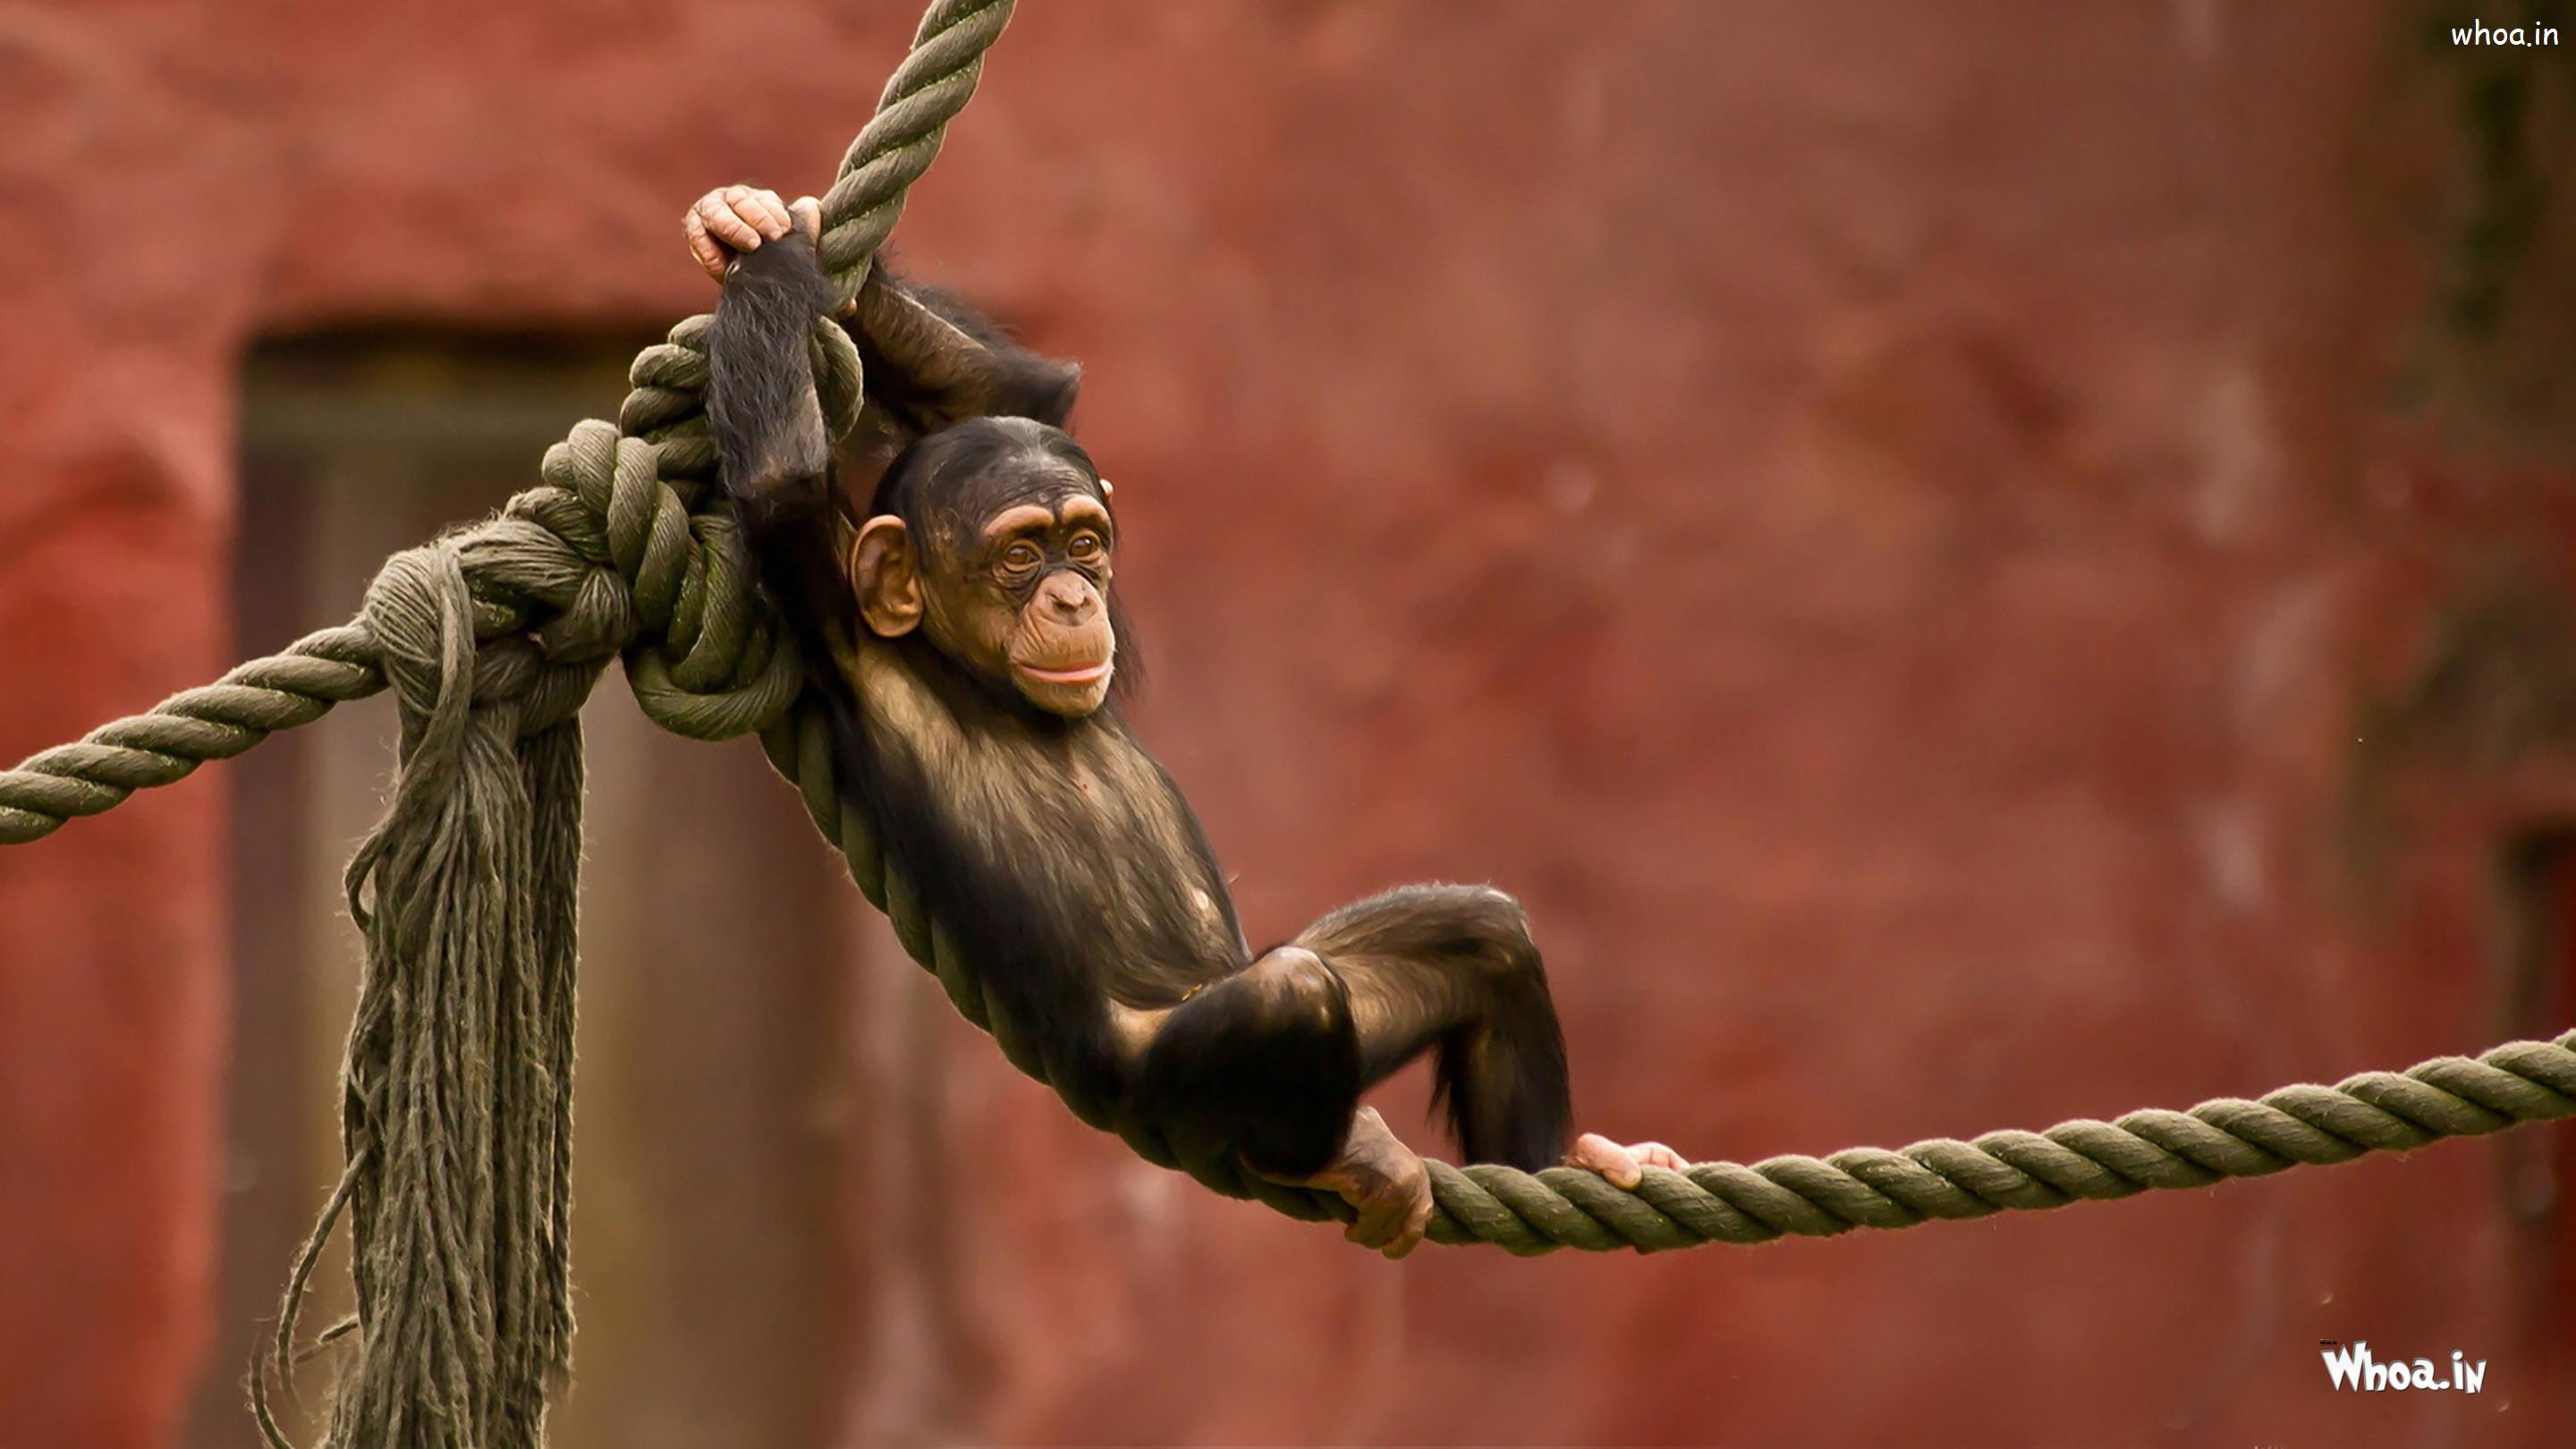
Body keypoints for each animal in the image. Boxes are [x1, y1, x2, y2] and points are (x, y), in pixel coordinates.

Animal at [687, 185, 1684, 1255]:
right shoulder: (836, 618)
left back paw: (1570, 1159)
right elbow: (780, 486)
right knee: (1291, 998)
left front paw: (773, 235)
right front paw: (757, 256)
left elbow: (1024, 398)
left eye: (1084, 542)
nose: (1072, 597)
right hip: (1168, 1088)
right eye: (1018, 555)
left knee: (1478, 932)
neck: (980, 681)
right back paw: (1342, 1155)